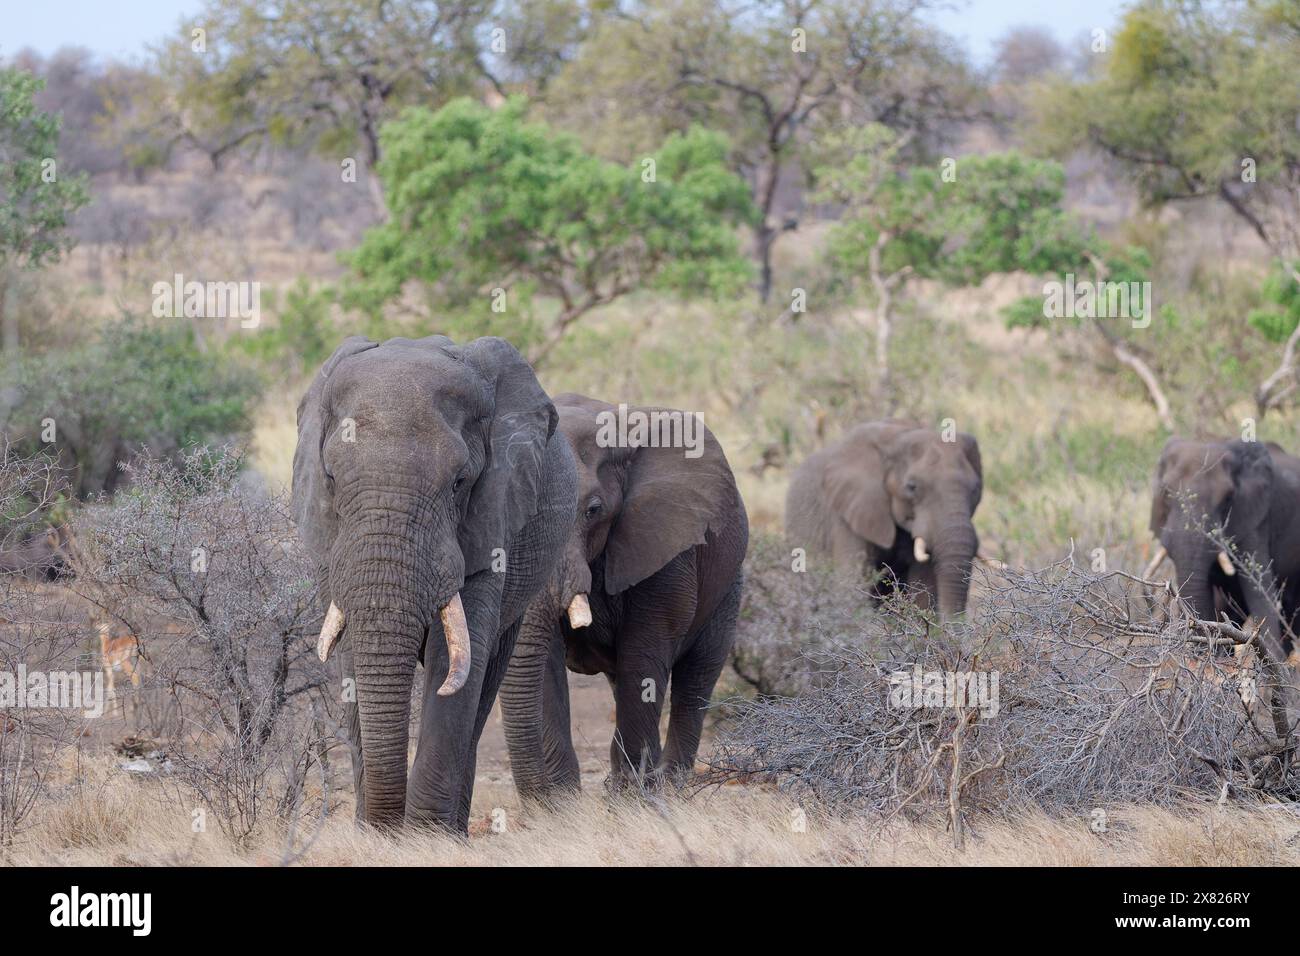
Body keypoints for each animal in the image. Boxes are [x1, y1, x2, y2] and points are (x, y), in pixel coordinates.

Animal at [291, 335, 577, 832]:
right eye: (330, 478)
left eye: (460, 482)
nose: (382, 827)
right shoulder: (330, 544)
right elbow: (349, 650)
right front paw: (376, 835)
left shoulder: (493, 521)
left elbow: (457, 656)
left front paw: (426, 838)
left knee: (485, 679)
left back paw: (454, 830)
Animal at [500, 393, 748, 801]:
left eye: (593, 510)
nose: (542, 800)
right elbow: (543, 659)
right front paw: (564, 804)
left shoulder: (666, 543)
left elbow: (643, 656)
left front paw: (630, 800)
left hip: (729, 586)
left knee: (696, 677)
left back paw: (670, 787)